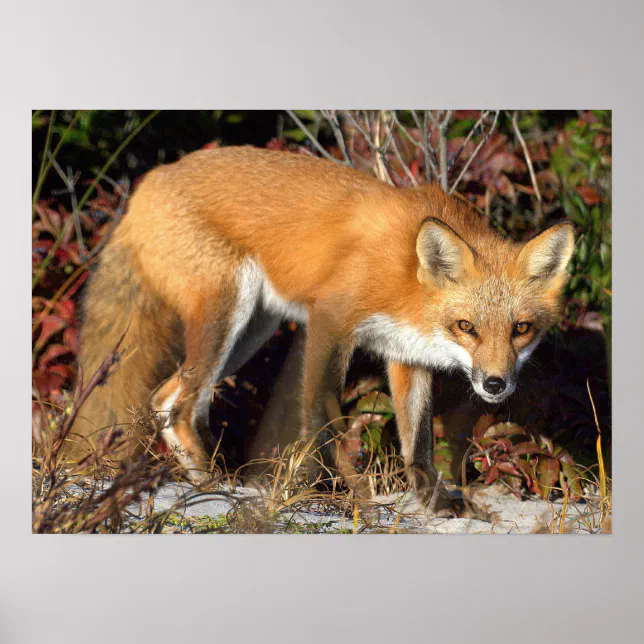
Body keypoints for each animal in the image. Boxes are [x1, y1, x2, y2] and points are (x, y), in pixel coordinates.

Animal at [68, 146, 575, 514]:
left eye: (521, 328)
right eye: (467, 326)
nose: (495, 384)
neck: (408, 276)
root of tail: (148, 183)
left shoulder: (406, 355)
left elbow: (419, 444)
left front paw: (433, 503)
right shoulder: (327, 322)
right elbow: (318, 423)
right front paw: (324, 492)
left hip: (251, 331)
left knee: (162, 398)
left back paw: (203, 484)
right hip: (226, 315)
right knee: (182, 406)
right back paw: (217, 487)